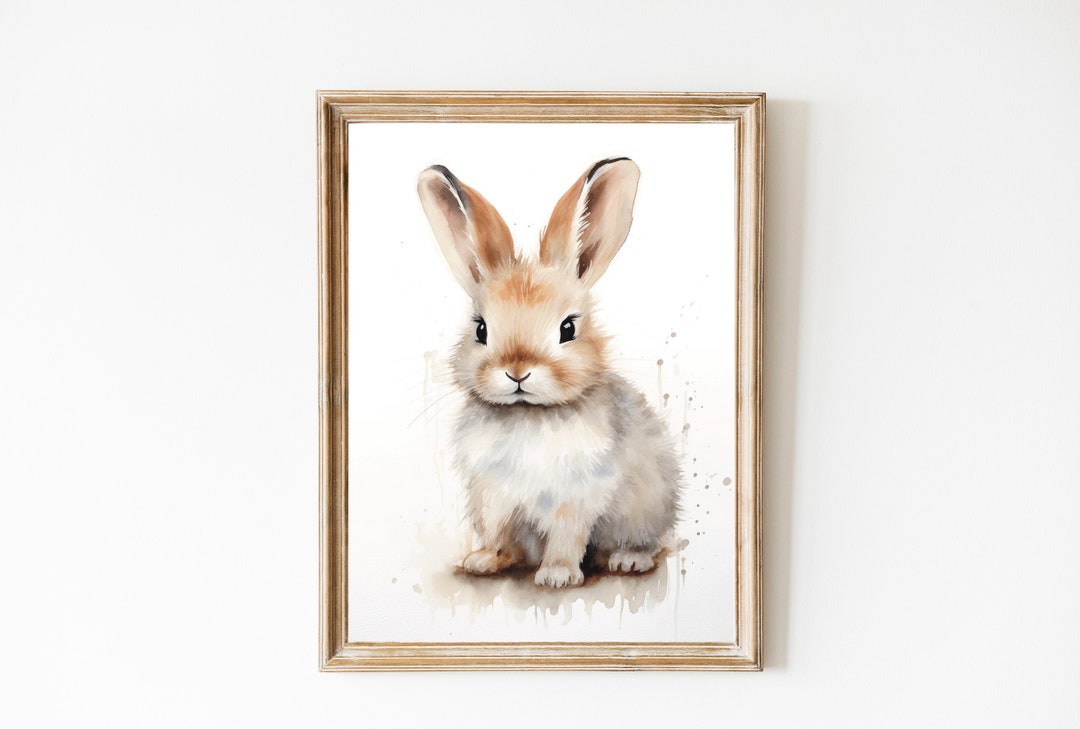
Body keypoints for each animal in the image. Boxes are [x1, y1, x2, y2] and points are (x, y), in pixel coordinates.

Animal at [416, 157, 681, 588]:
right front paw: (484, 561)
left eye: (568, 329)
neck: (528, 414)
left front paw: (557, 574)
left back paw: (628, 560)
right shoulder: (493, 495)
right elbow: (498, 533)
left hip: (646, 508)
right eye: (481, 330)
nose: (517, 372)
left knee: (645, 541)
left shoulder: (575, 497)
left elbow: (566, 537)